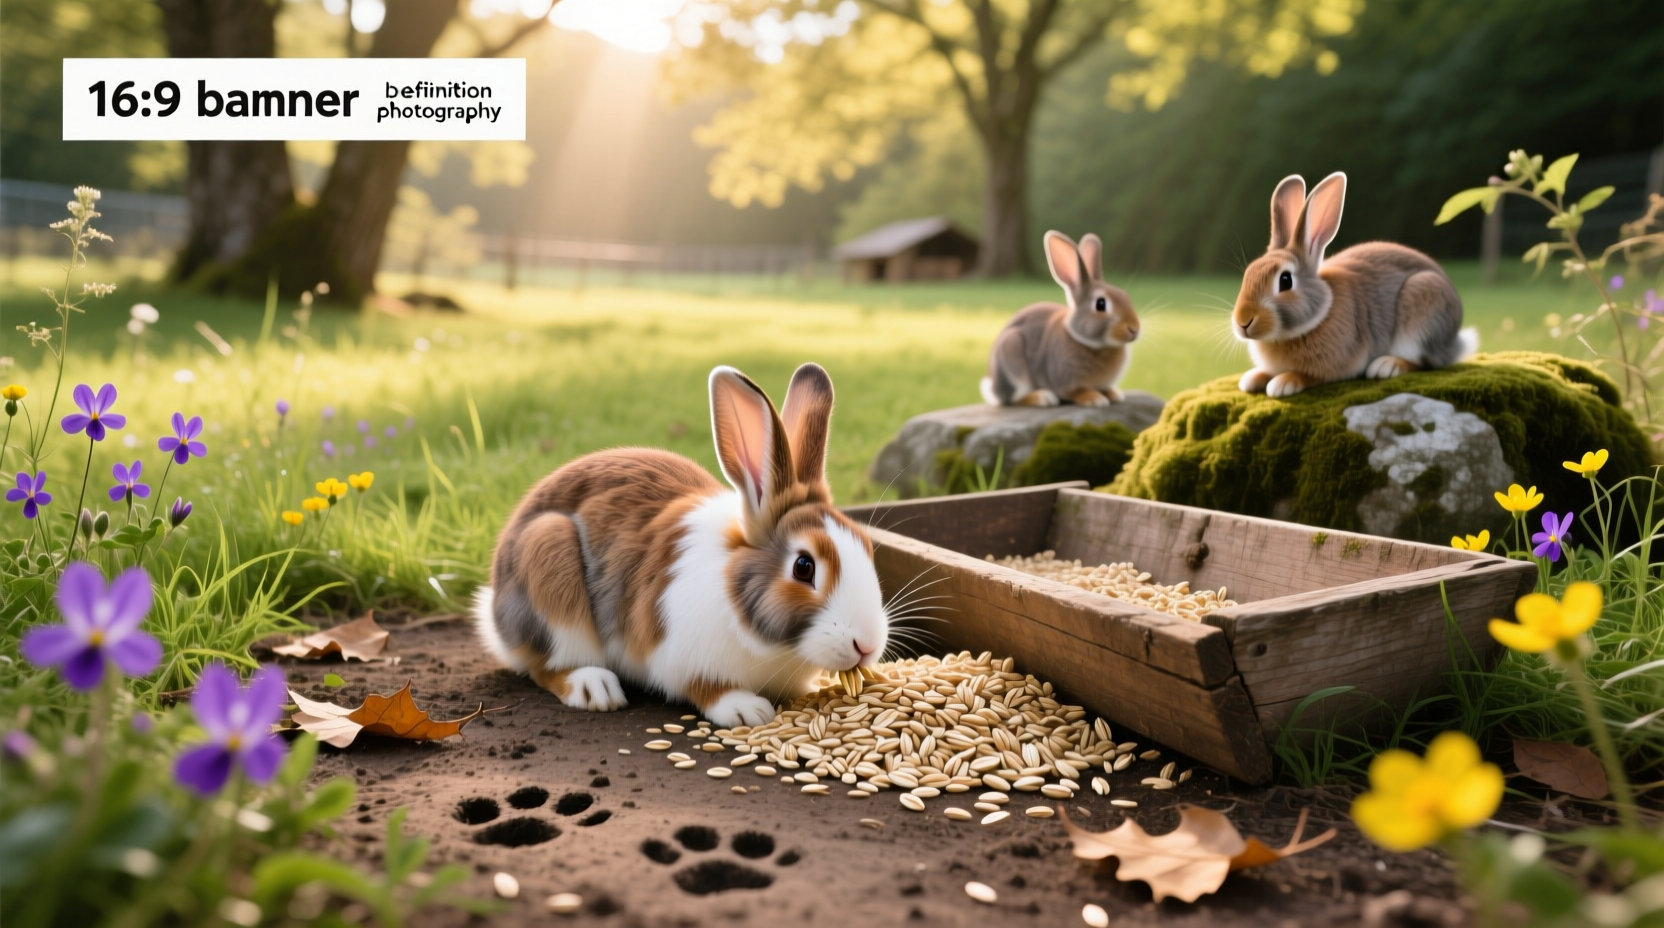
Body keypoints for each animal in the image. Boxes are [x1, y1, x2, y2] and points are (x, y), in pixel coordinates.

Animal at [473, 362, 890, 729]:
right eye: (804, 567)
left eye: (868, 547)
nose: (867, 645)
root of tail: (495, 613)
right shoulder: (680, 656)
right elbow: (704, 688)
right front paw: (748, 711)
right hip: (551, 574)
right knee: (546, 666)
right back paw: (595, 688)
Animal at [980, 230, 1141, 408]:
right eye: (1101, 304)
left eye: (1125, 295)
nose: (1134, 329)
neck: (1096, 345)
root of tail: (995, 390)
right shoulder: (1064, 380)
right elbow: (1076, 392)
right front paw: (1095, 398)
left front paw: (1114, 394)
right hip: (1014, 364)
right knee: (1014, 399)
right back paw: (1042, 397)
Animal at [1233, 171, 1477, 398]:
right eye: (1248, 273)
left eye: (1285, 280)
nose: (1243, 321)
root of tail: (1454, 341)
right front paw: (1252, 379)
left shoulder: (1335, 364)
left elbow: (1307, 375)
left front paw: (1283, 383)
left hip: (1422, 313)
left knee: (1425, 361)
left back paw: (1387, 366)